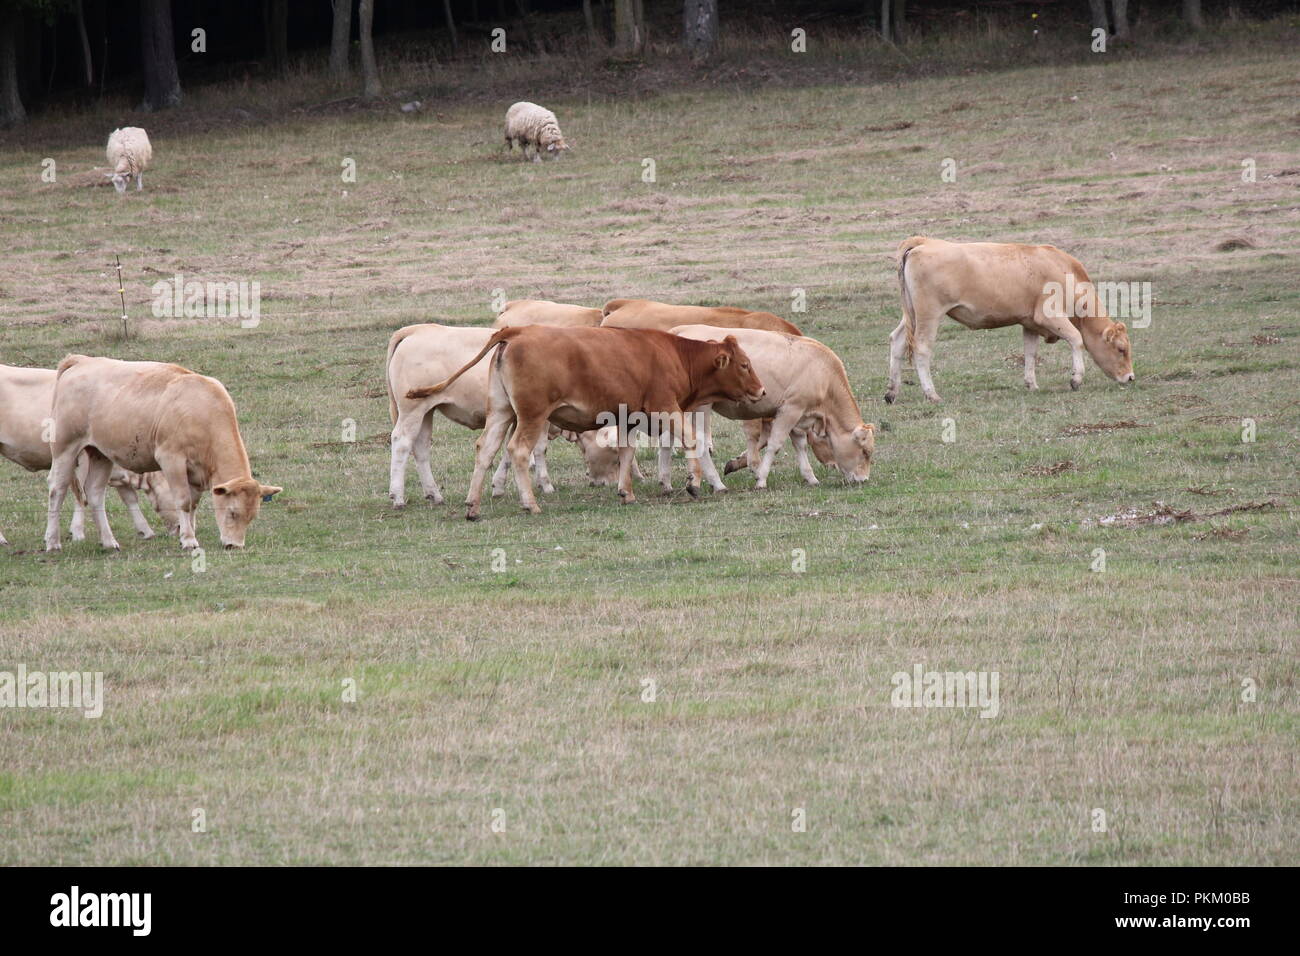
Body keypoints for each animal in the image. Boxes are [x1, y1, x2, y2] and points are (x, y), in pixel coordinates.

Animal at [43, 355, 281, 552]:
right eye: (232, 512)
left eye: (252, 516)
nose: (234, 545)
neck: (202, 410)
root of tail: (81, 360)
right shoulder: (171, 460)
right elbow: (183, 501)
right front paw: (189, 540)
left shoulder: (195, 473)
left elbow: (193, 505)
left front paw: (187, 533)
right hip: (65, 448)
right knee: (57, 489)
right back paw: (53, 542)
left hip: (100, 454)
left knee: (94, 493)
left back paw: (109, 542)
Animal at [404, 326, 765, 519]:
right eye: (745, 365)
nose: (761, 390)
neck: (672, 353)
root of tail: (517, 330)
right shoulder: (665, 406)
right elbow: (690, 438)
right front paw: (693, 482)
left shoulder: (628, 417)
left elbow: (626, 452)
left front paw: (626, 491)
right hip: (532, 415)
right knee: (517, 451)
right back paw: (530, 504)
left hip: (502, 412)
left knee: (486, 449)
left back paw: (473, 506)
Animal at [667, 326, 875, 490]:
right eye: (865, 452)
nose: (864, 480)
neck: (823, 372)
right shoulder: (790, 409)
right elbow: (775, 444)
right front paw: (761, 479)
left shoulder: (799, 416)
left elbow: (800, 445)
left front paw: (810, 477)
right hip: (701, 407)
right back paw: (709, 481)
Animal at [886, 235, 1135, 403]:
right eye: (1121, 349)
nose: (1130, 377)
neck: (1064, 271)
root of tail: (923, 242)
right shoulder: (1049, 315)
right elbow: (1076, 339)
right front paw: (1076, 379)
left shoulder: (1030, 323)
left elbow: (1030, 353)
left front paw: (1032, 384)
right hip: (929, 314)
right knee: (921, 348)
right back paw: (932, 394)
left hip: (911, 315)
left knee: (897, 341)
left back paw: (891, 392)